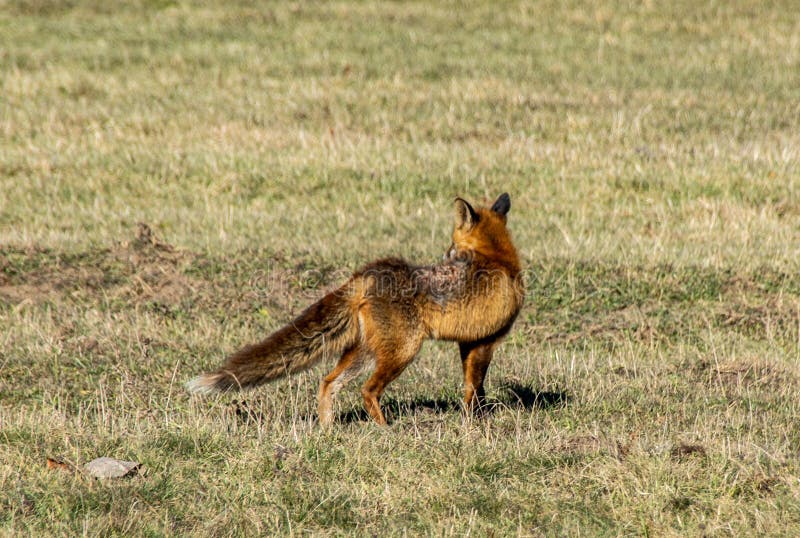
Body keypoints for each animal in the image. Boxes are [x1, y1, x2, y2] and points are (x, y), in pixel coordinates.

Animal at [187, 193, 524, 426]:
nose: (446, 253)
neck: (498, 259)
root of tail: (369, 272)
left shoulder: (469, 342)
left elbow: (472, 387)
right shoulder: (485, 342)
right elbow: (474, 388)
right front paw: (475, 422)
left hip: (364, 351)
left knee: (328, 382)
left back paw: (327, 429)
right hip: (401, 352)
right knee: (368, 390)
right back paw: (386, 430)